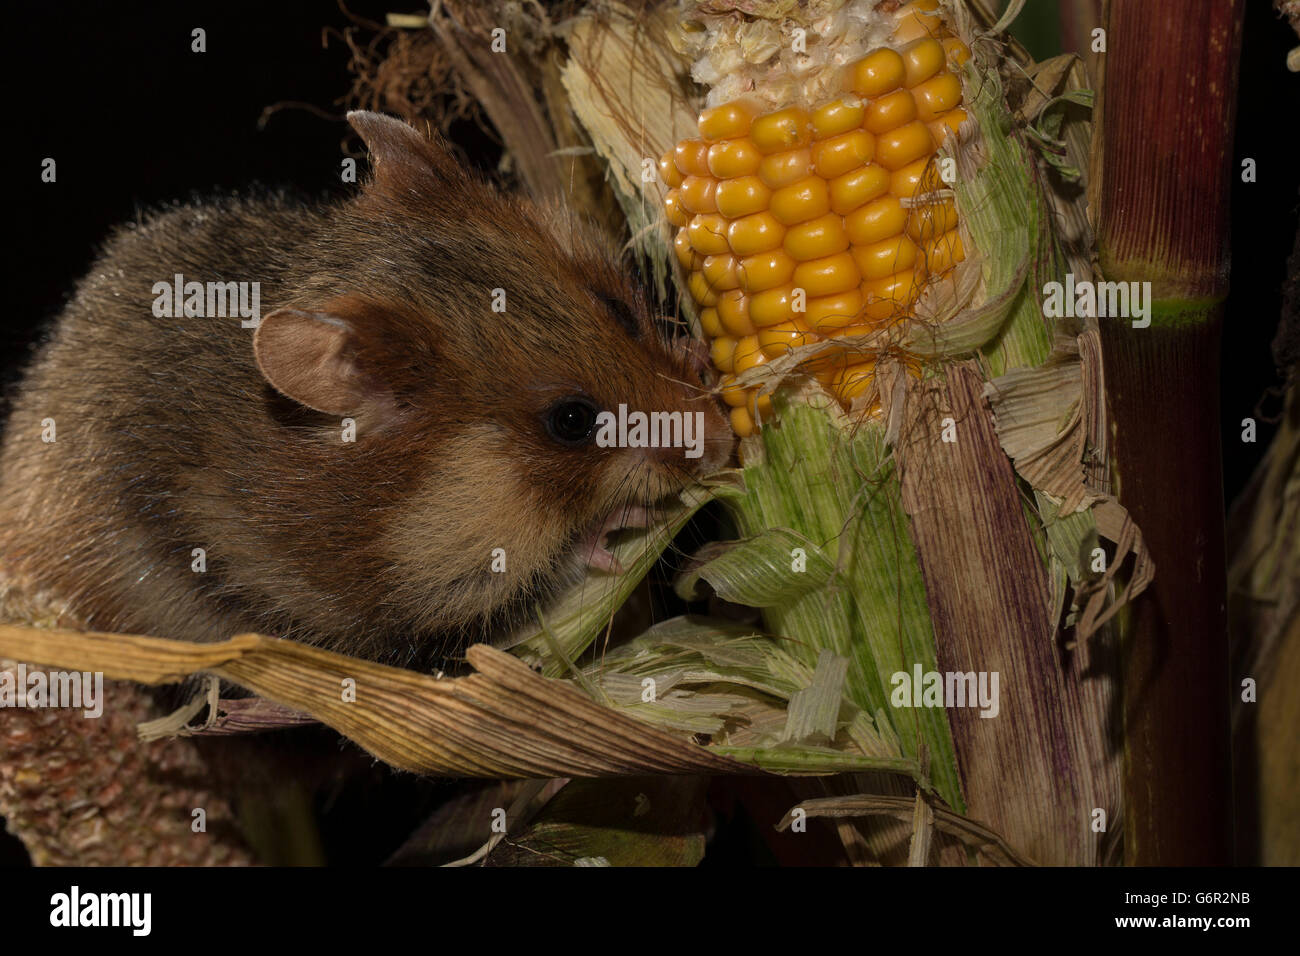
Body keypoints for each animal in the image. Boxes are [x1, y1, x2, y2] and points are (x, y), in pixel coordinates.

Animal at [0, 111, 730, 671]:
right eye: (572, 421)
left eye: (619, 310)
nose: (722, 443)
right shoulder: (417, 597)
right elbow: (542, 576)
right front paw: (618, 524)